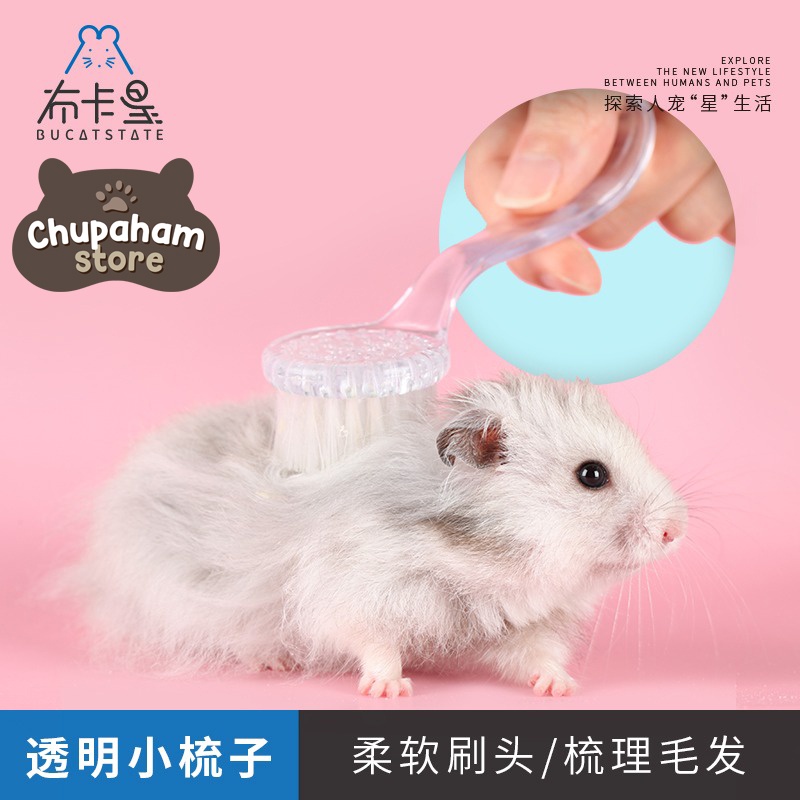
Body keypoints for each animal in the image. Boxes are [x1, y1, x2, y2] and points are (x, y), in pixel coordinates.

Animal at [69, 373, 687, 698]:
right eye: (592, 475)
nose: (674, 532)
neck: (484, 556)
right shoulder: (355, 594)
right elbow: (375, 643)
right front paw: (391, 690)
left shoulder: (525, 621)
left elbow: (536, 655)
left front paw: (562, 687)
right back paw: (274, 662)